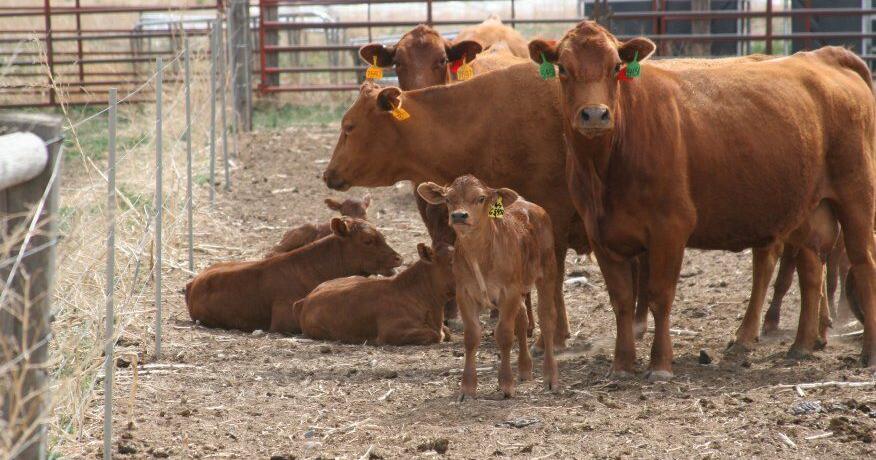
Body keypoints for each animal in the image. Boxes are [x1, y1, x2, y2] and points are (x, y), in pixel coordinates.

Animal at [418, 175, 560, 399]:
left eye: (481, 198)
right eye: (448, 199)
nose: (459, 215)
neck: (480, 256)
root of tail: (528, 204)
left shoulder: (508, 292)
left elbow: (504, 334)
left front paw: (506, 385)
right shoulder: (464, 293)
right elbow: (471, 336)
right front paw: (467, 388)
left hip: (547, 272)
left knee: (546, 319)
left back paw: (550, 377)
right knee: (522, 318)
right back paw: (524, 369)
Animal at [529, 21, 876, 377]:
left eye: (616, 67)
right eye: (563, 68)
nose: (595, 114)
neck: (606, 168)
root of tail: (824, 56)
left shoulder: (670, 228)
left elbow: (659, 296)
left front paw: (660, 363)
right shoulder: (601, 234)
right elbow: (622, 300)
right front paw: (622, 363)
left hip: (857, 196)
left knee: (863, 263)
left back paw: (868, 351)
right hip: (809, 209)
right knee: (810, 268)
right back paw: (802, 345)